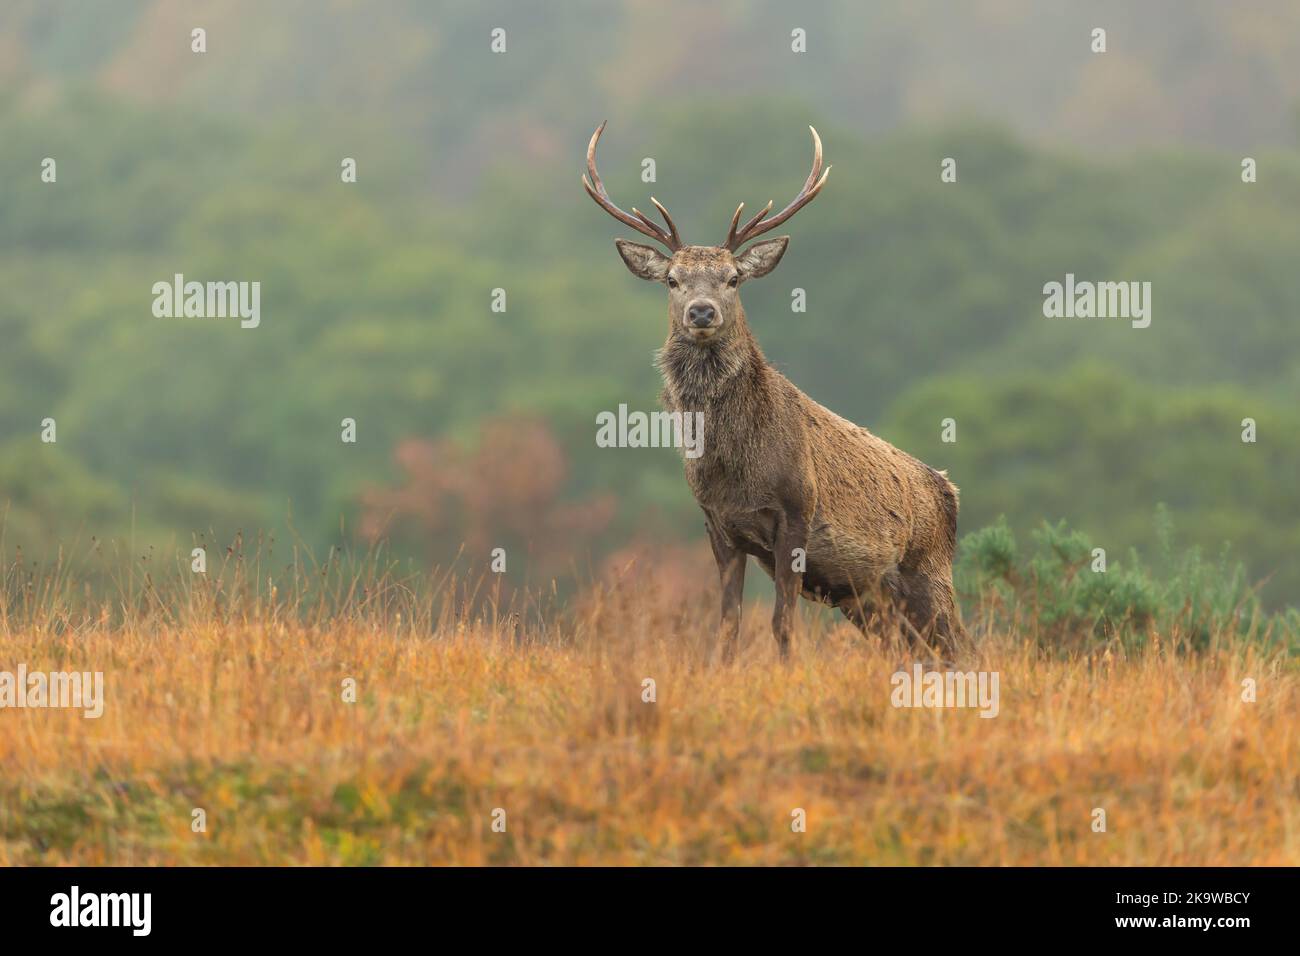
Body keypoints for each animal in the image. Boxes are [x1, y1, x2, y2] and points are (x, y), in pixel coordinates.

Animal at [583, 122, 964, 661]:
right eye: (673, 280)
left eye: (733, 278)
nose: (702, 311)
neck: (736, 469)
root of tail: (950, 493)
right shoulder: (718, 526)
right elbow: (728, 625)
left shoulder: (798, 513)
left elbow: (783, 623)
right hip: (869, 600)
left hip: (930, 575)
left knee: (962, 646)